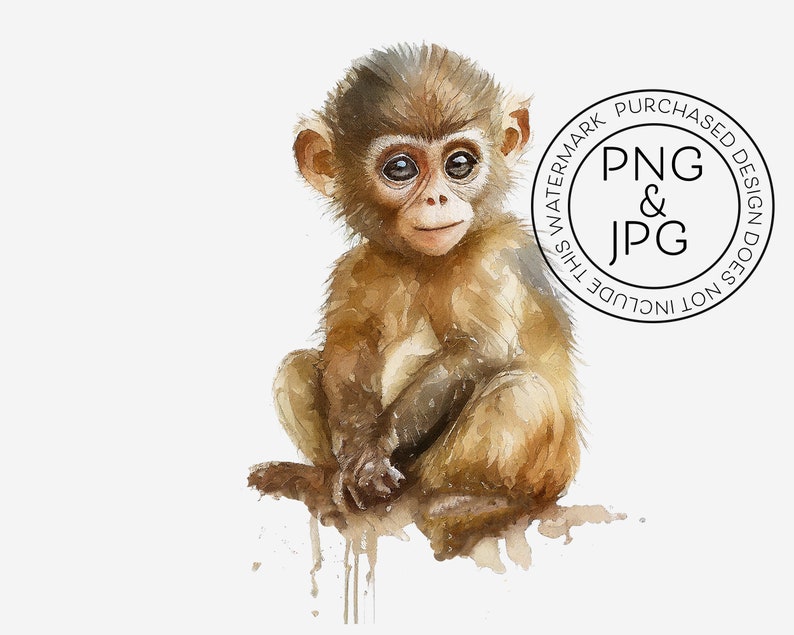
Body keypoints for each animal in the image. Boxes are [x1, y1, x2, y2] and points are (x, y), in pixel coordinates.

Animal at [249, 43, 583, 560]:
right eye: (401, 168)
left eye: (459, 164)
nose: (437, 199)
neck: (419, 264)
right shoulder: (353, 269)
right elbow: (345, 350)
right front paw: (357, 450)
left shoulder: (494, 257)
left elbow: (480, 350)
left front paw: (376, 449)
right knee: (296, 367)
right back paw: (318, 477)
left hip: (522, 473)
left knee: (520, 391)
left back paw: (478, 500)